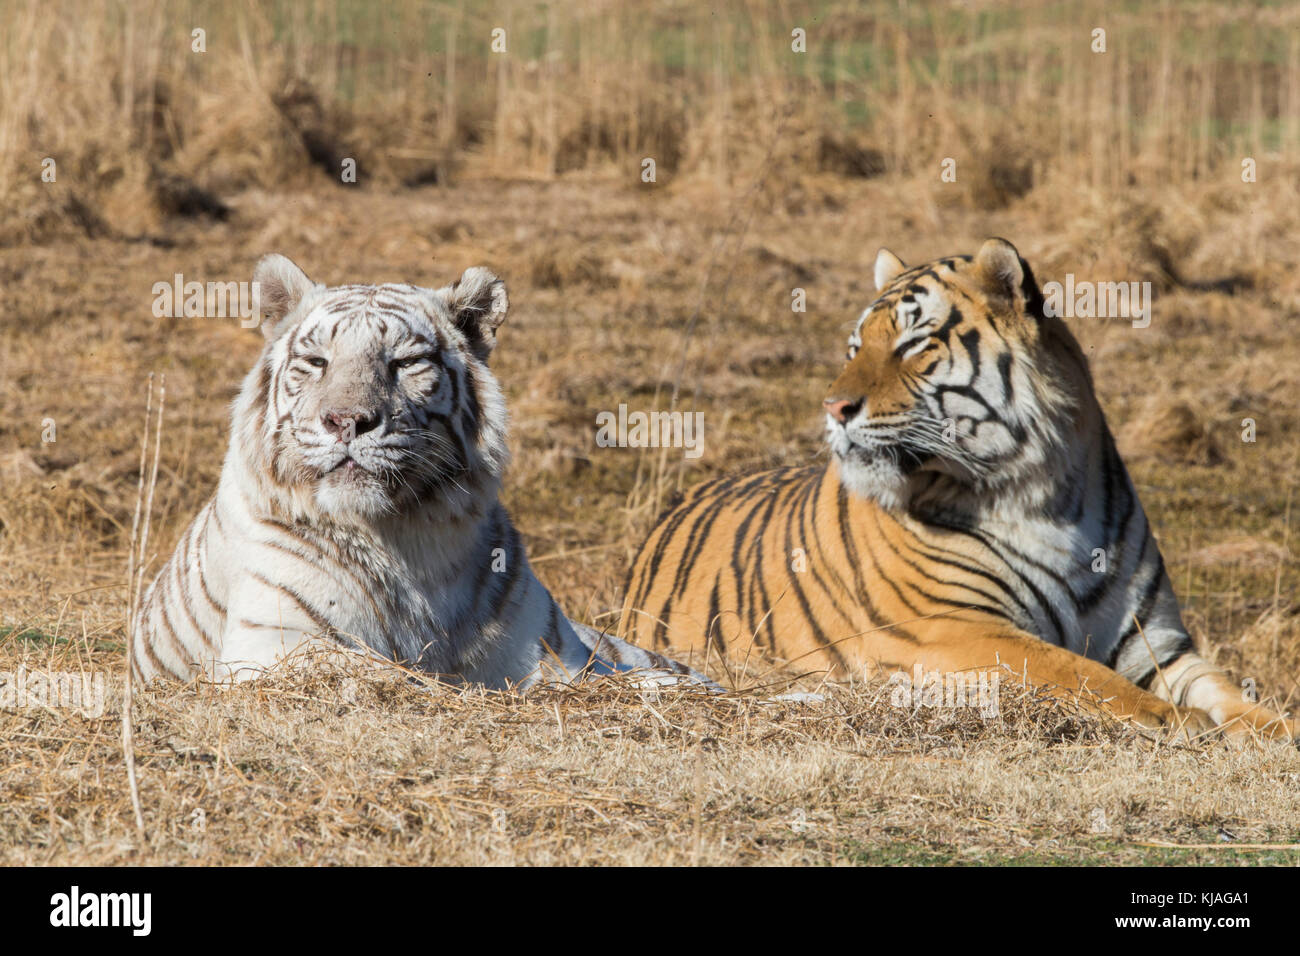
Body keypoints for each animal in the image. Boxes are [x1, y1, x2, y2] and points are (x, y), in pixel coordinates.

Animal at [131, 253, 707, 691]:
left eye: (405, 363)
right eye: (317, 362)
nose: (346, 421)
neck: (407, 539)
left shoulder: (548, 651)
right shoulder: (273, 642)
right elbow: (381, 670)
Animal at [618, 238, 1295, 739]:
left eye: (913, 344)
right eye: (855, 347)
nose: (833, 408)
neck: (1049, 497)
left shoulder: (1157, 643)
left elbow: (1227, 689)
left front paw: (1276, 729)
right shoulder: (954, 629)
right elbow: (1074, 670)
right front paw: (1176, 719)